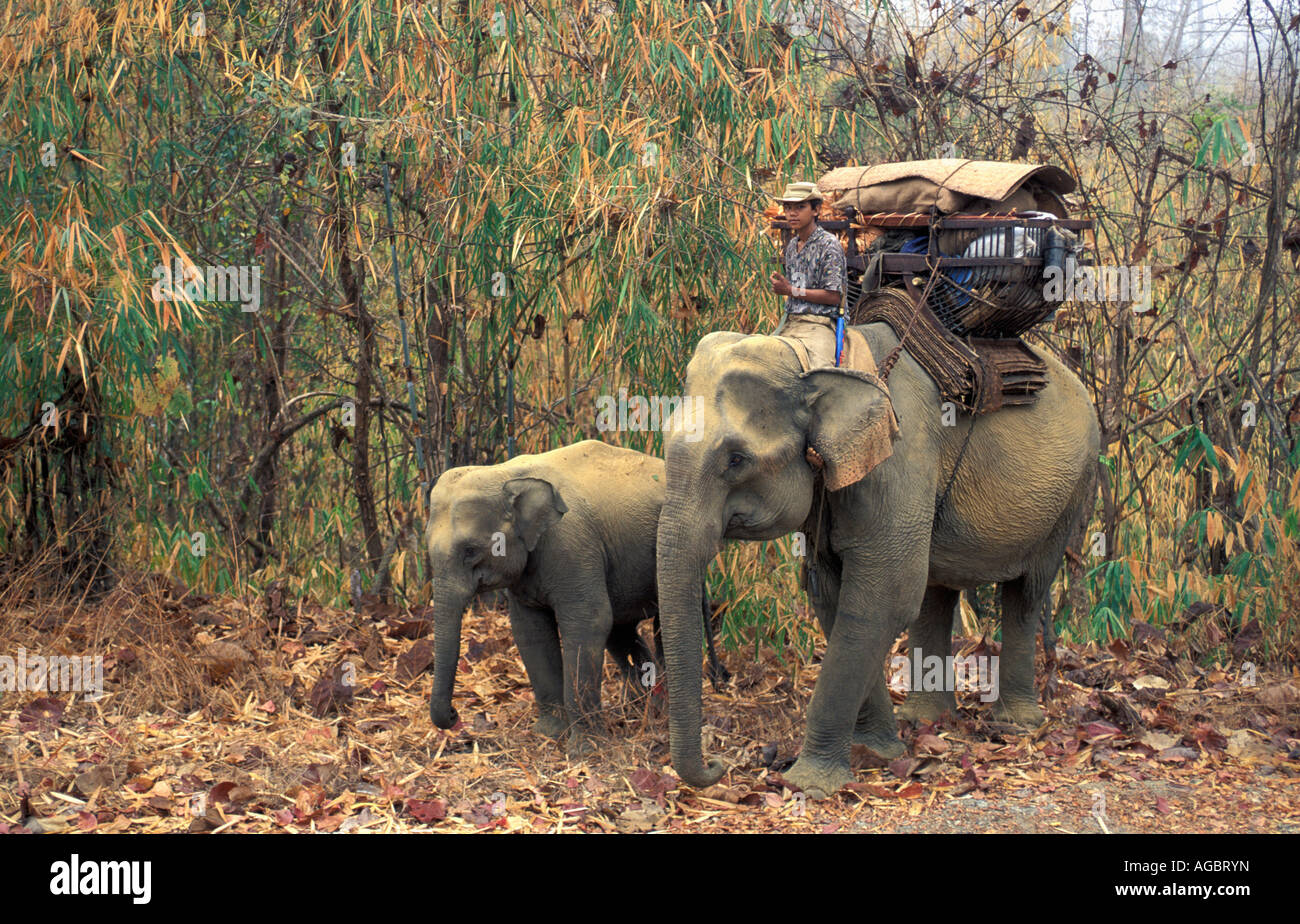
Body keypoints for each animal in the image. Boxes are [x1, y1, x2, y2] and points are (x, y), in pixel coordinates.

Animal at [424, 439, 727, 753]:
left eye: (470, 550)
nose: (455, 715)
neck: (504, 473)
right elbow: (531, 631)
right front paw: (549, 734)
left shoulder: (572, 546)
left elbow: (587, 623)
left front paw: (584, 749)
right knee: (620, 632)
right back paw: (643, 710)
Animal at [655, 323, 1099, 798]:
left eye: (736, 459)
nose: (719, 765)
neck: (814, 358)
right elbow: (833, 597)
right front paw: (879, 751)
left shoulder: (899, 458)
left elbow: (883, 598)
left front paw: (811, 784)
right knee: (936, 595)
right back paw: (924, 720)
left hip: (1072, 493)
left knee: (1025, 592)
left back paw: (1015, 725)